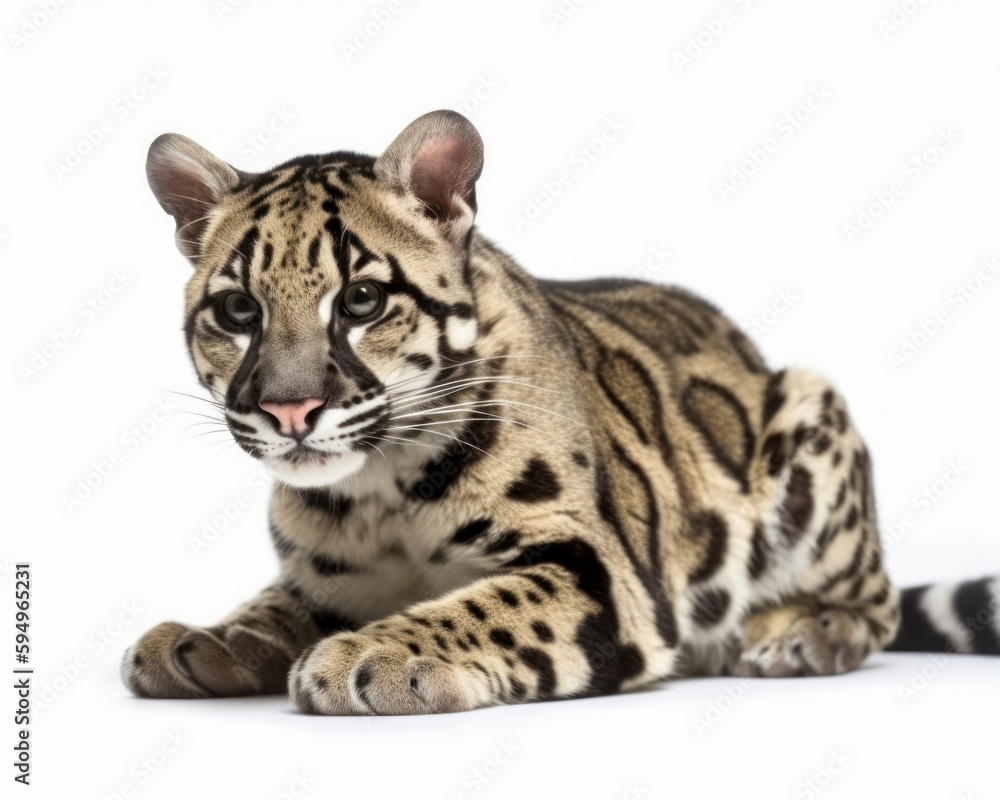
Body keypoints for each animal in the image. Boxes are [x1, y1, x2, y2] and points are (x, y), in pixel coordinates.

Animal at [121, 109, 999, 715]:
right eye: (238, 310)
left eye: (364, 299)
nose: (289, 408)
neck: (377, 490)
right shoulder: (322, 577)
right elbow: (274, 603)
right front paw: (212, 637)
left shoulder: (602, 573)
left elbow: (483, 606)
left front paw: (368, 654)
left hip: (813, 415)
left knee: (879, 604)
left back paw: (800, 632)